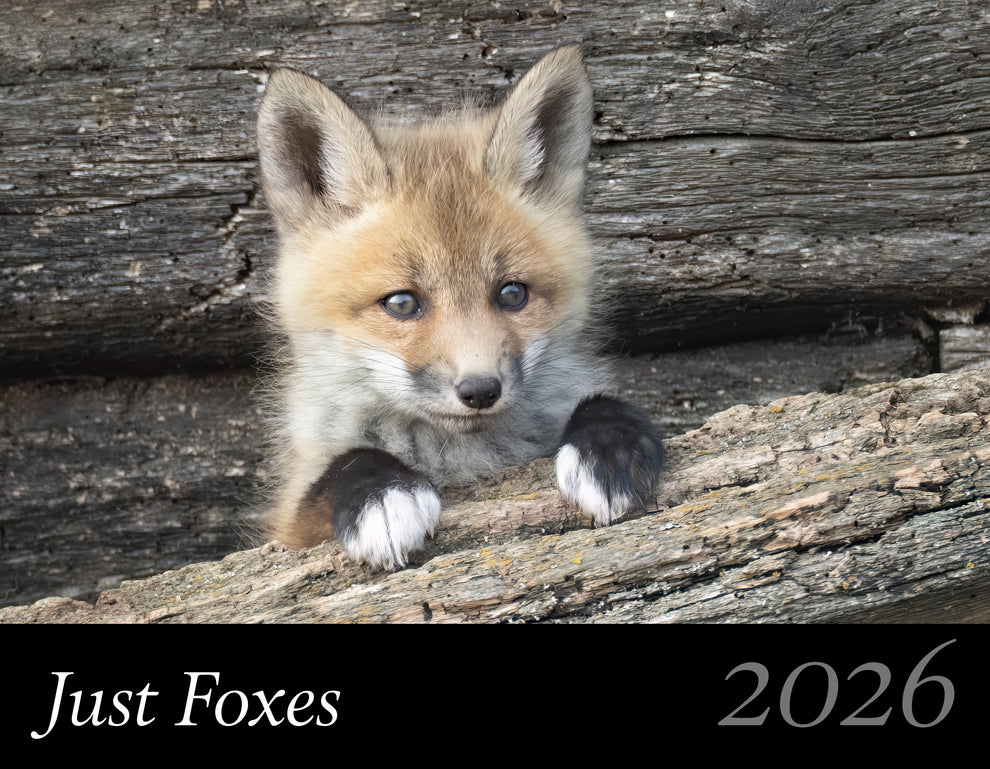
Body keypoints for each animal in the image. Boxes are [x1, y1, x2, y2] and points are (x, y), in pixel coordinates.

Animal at [255, 47, 664, 570]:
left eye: (512, 294)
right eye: (402, 303)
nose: (480, 390)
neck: (462, 457)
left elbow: (603, 403)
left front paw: (608, 446)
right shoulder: (287, 530)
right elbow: (340, 471)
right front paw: (381, 495)